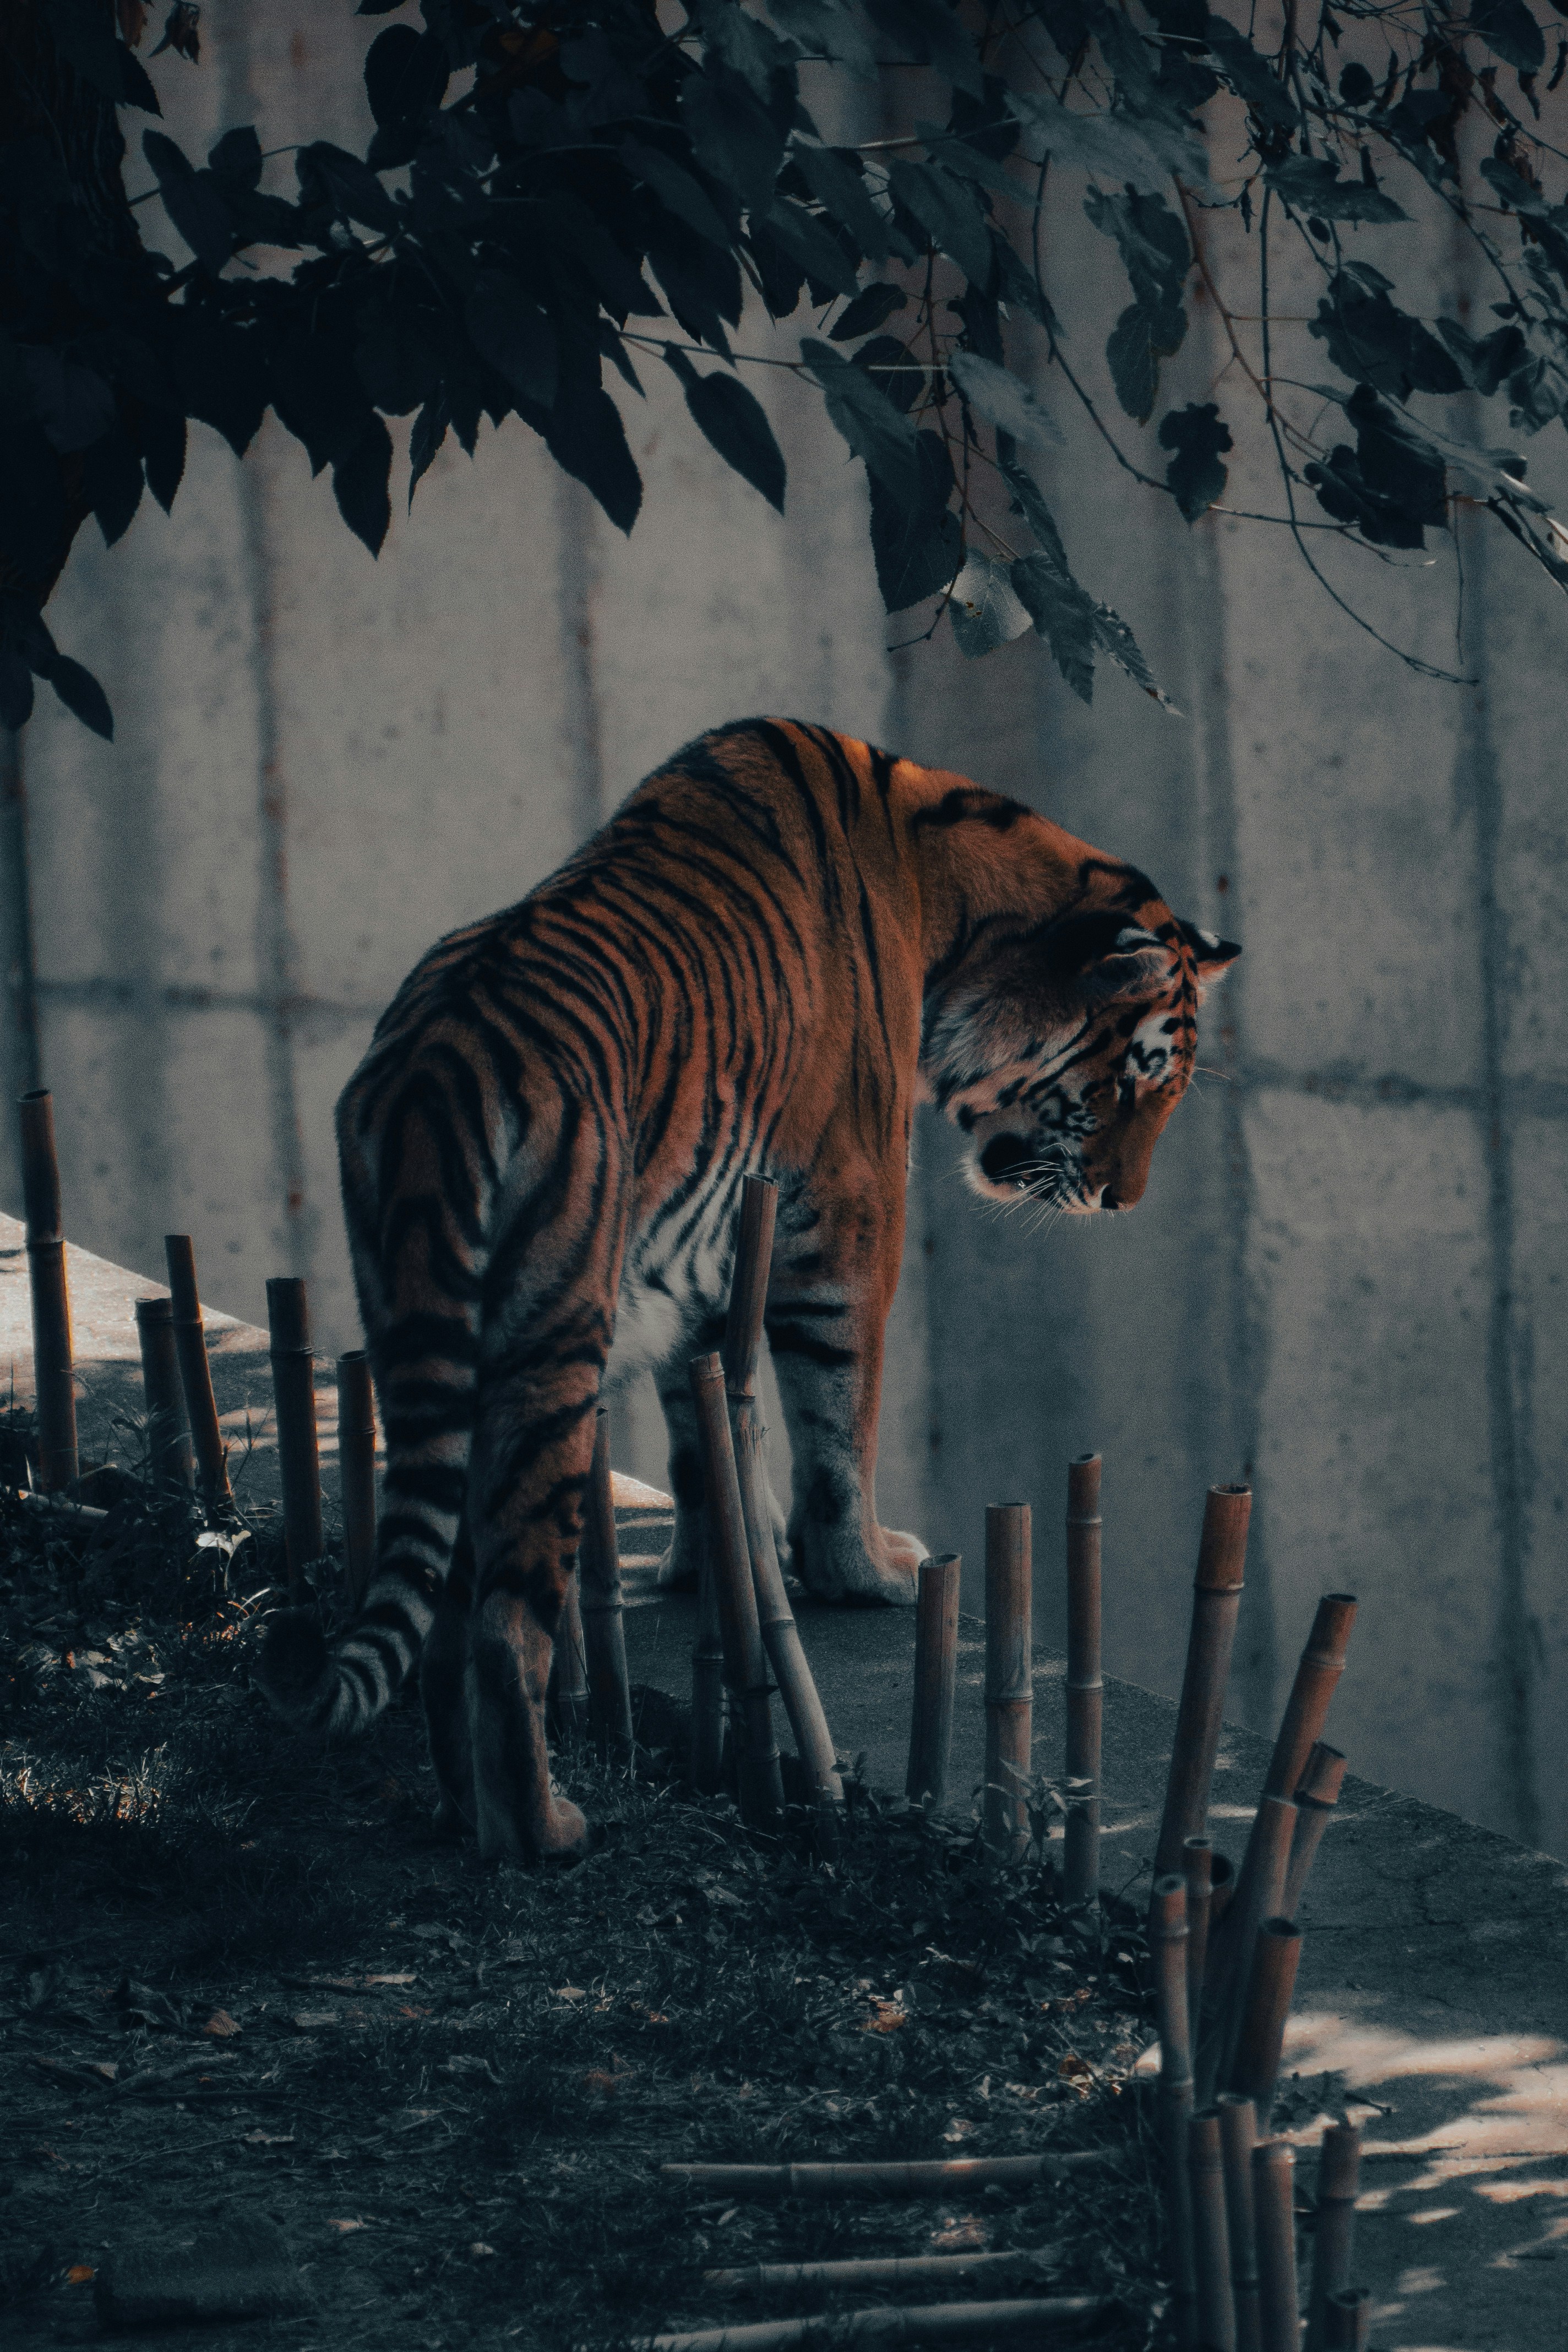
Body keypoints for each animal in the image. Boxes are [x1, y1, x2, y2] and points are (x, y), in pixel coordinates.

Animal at [259, 719, 1238, 1863]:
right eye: (1137, 1080)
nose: (1123, 1201)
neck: (949, 895)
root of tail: (435, 1063)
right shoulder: (853, 1203)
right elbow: (838, 1417)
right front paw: (864, 1569)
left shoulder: (703, 1237)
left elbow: (702, 1431)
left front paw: (714, 1559)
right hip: (551, 1346)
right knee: (506, 1627)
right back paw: (547, 1830)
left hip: (432, 1332)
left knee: (449, 1612)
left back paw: (467, 1814)